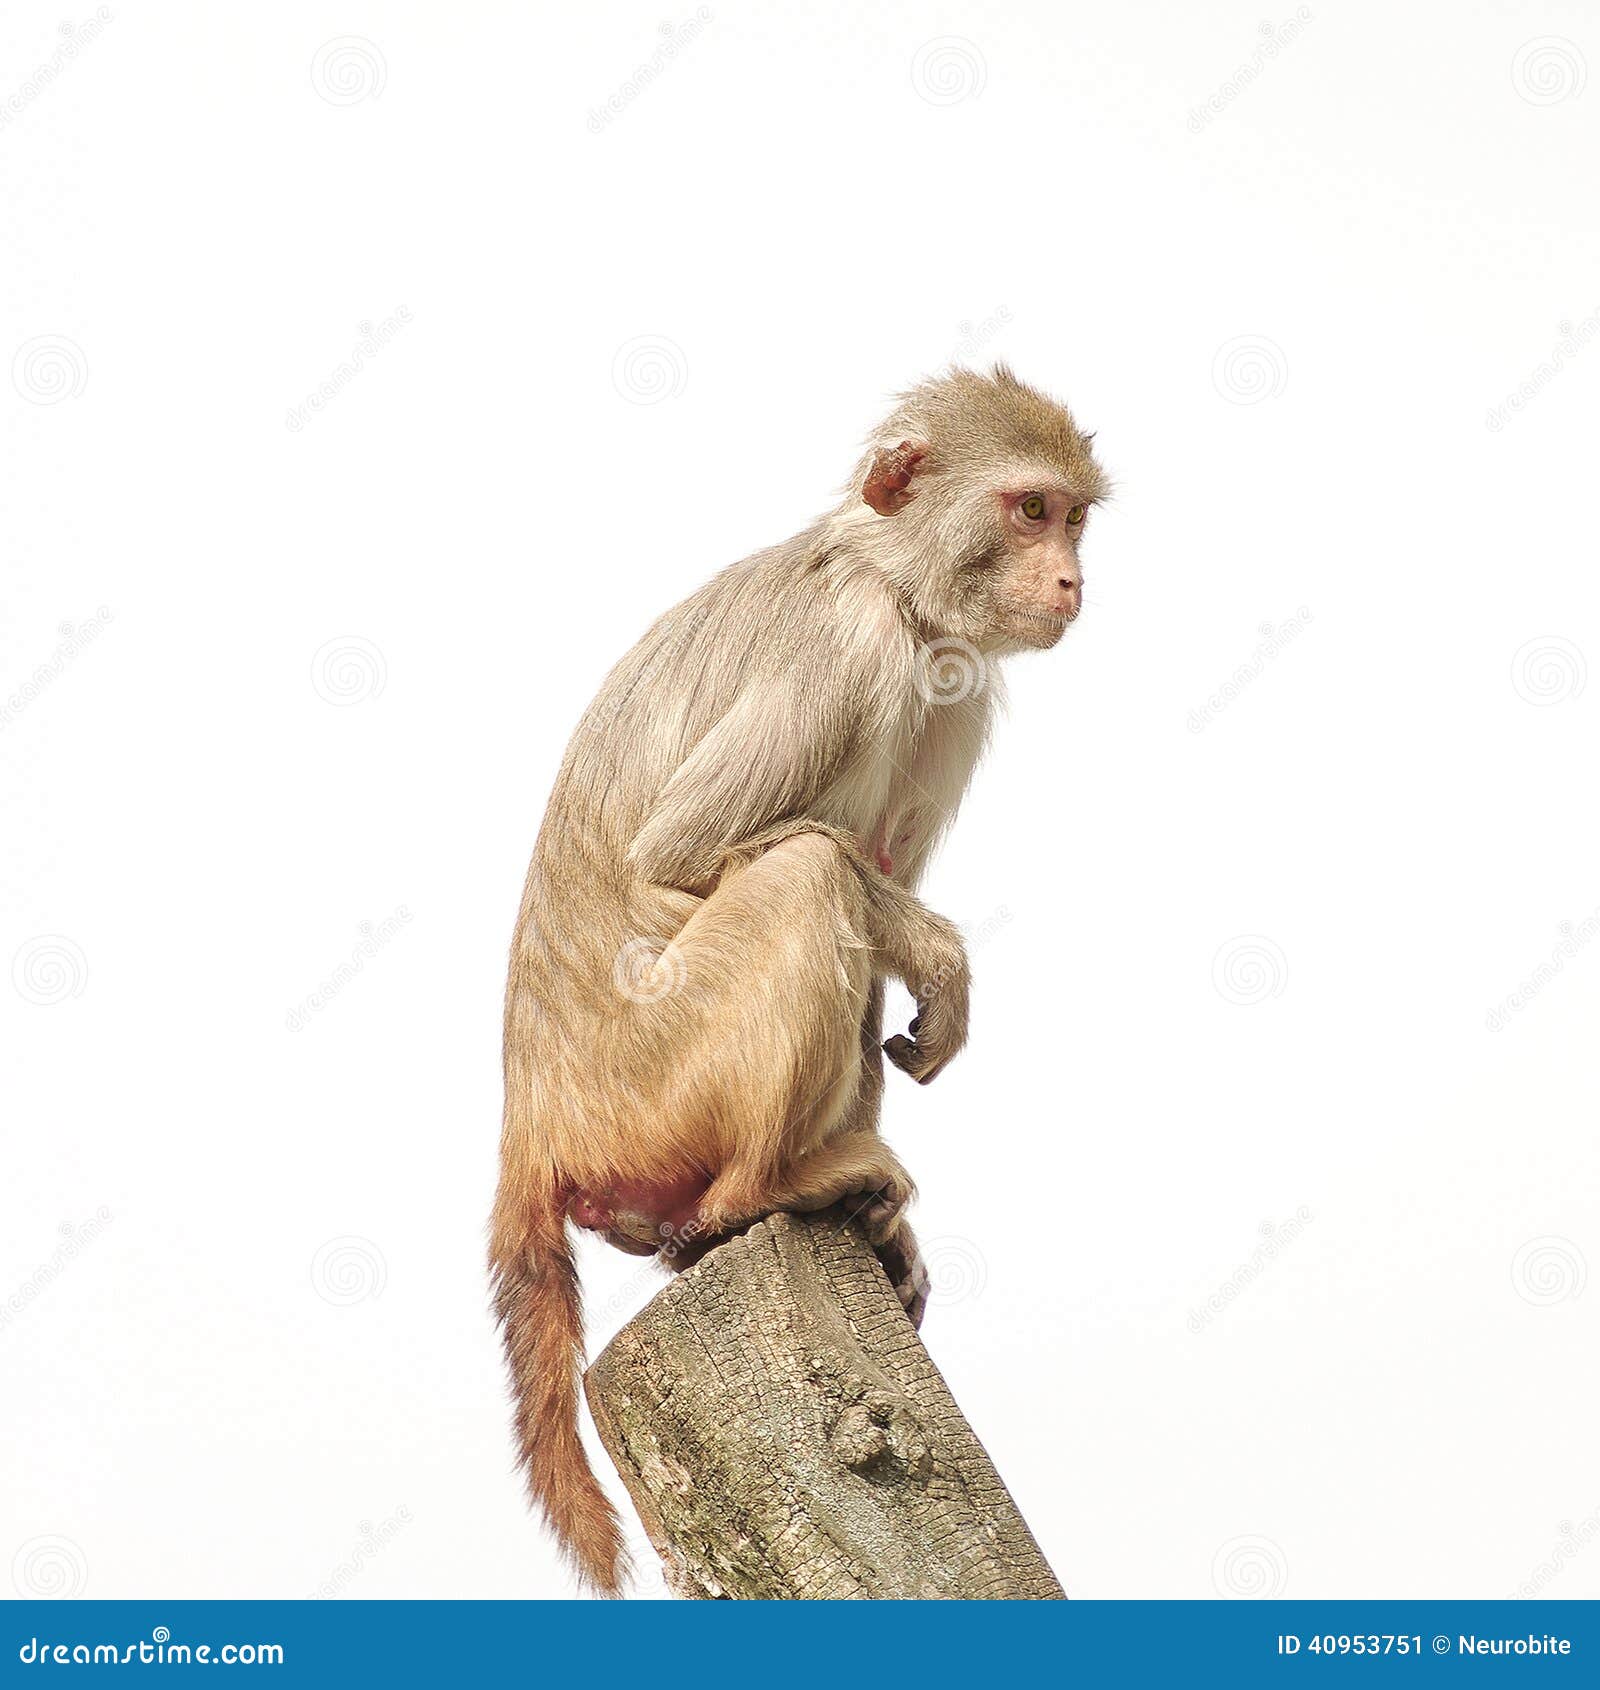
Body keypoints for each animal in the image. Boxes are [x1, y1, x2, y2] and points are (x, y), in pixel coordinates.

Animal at [490, 364, 1107, 1594]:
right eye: (1029, 510)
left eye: (1073, 517)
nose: (1073, 578)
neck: (896, 583)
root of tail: (536, 1117)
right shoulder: (849, 645)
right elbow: (683, 857)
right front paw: (942, 959)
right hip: (655, 1089)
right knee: (810, 876)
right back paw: (759, 1192)